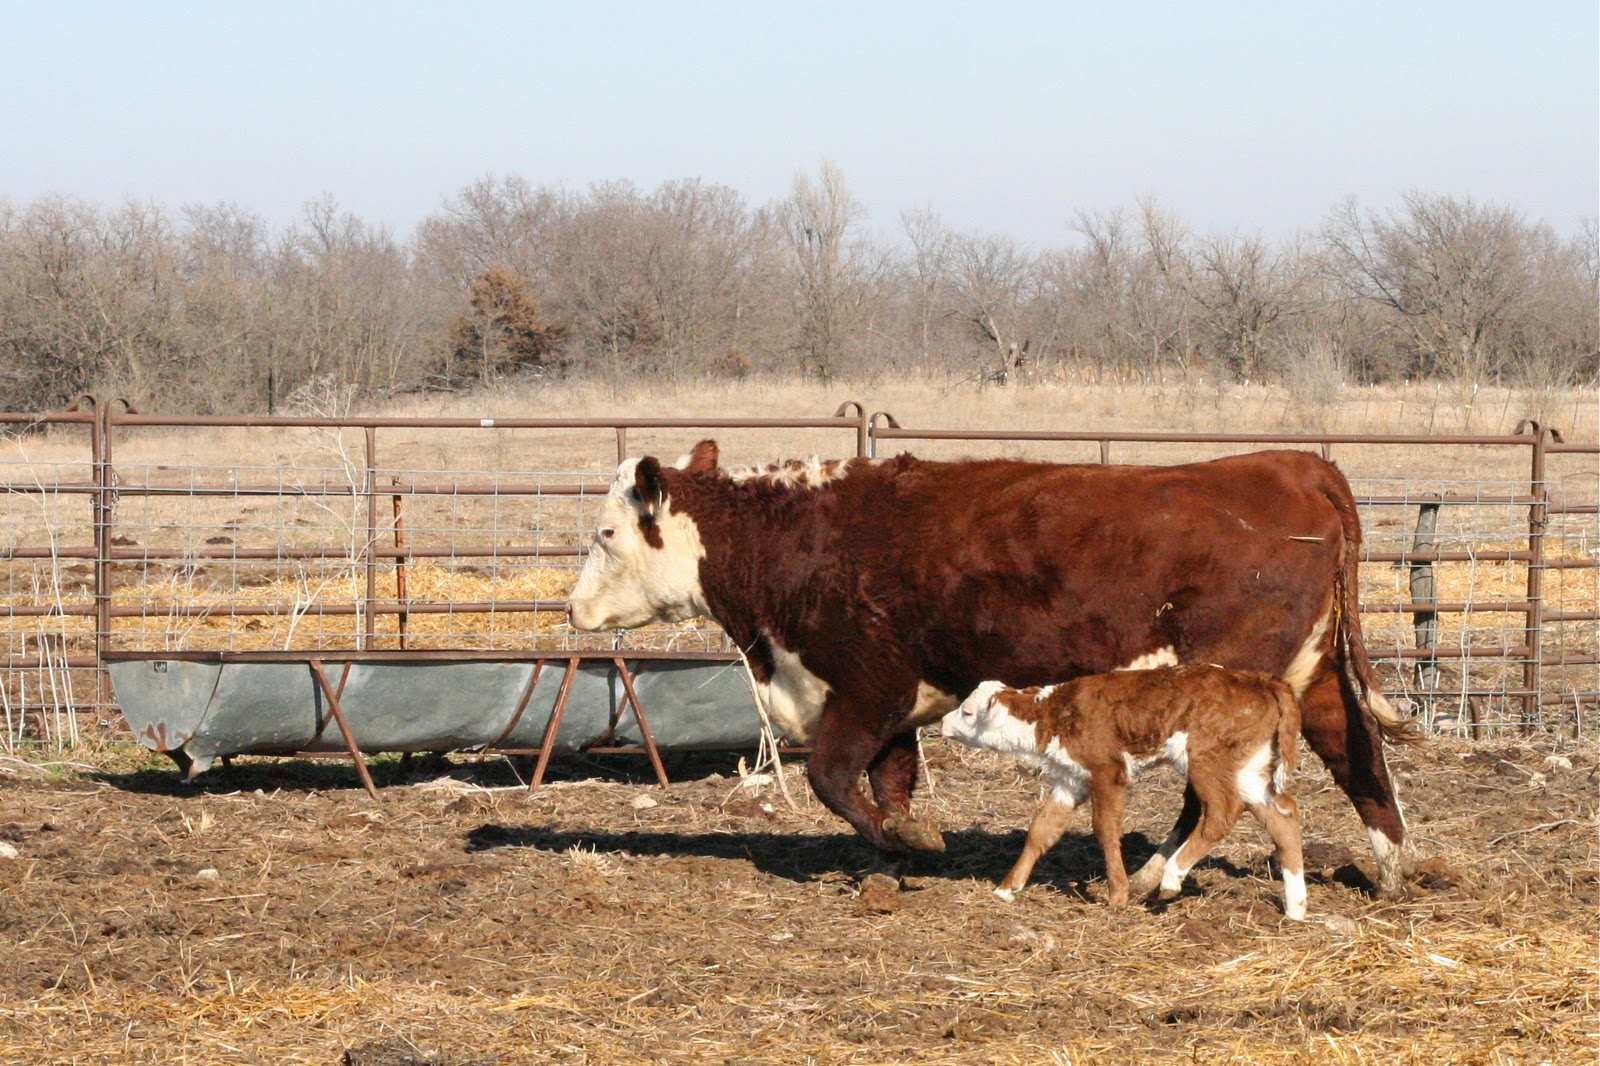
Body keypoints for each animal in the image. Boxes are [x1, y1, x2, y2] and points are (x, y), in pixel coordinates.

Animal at [941, 666, 1307, 919]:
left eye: (967, 711)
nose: (943, 723)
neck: (1055, 713)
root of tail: (1266, 681)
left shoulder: (1107, 771)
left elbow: (1105, 829)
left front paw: (1117, 895)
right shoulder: (1071, 778)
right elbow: (1042, 830)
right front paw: (1006, 888)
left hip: (1207, 758)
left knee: (1223, 810)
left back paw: (1171, 879)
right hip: (1249, 768)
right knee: (1283, 816)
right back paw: (1296, 908)